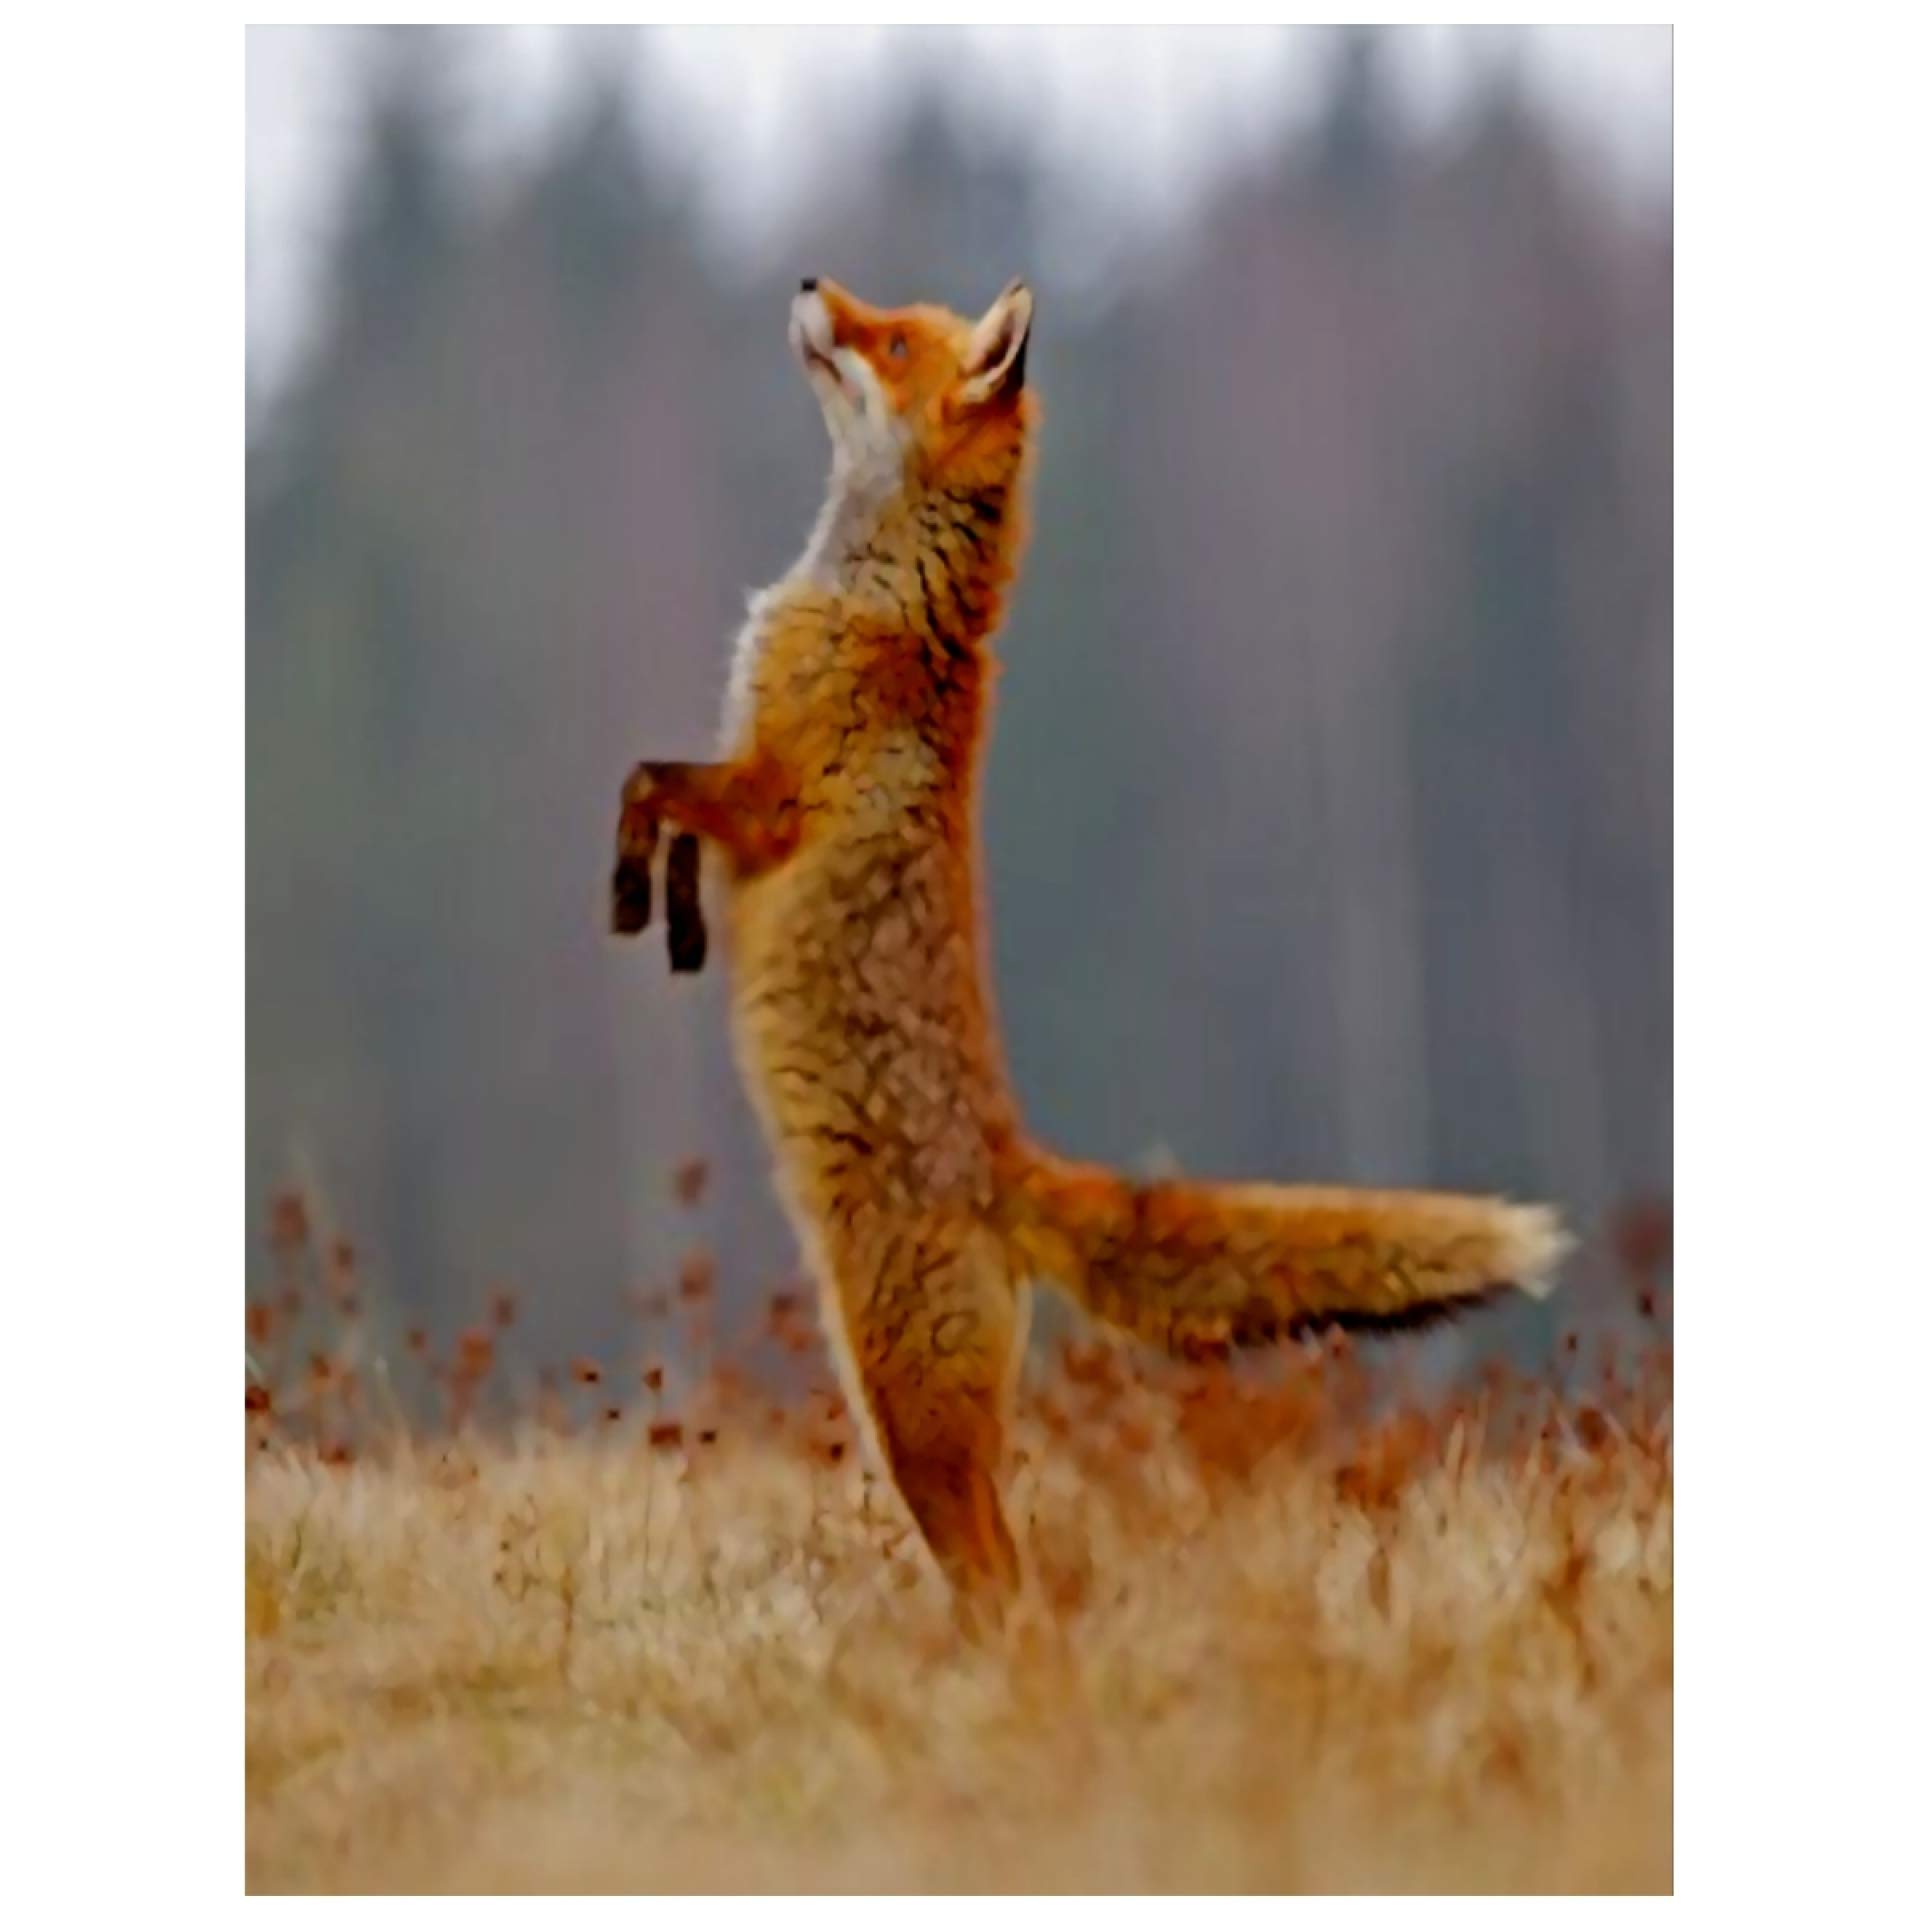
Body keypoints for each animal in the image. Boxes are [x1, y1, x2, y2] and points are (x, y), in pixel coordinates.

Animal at [611, 276, 1567, 1628]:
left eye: (888, 338)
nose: (805, 286)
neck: (875, 596)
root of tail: (1007, 1164)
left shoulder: (768, 794)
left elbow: (645, 784)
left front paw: (632, 894)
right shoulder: (740, 782)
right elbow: (666, 814)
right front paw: (678, 921)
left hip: (913, 1421)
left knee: (1016, 1595)